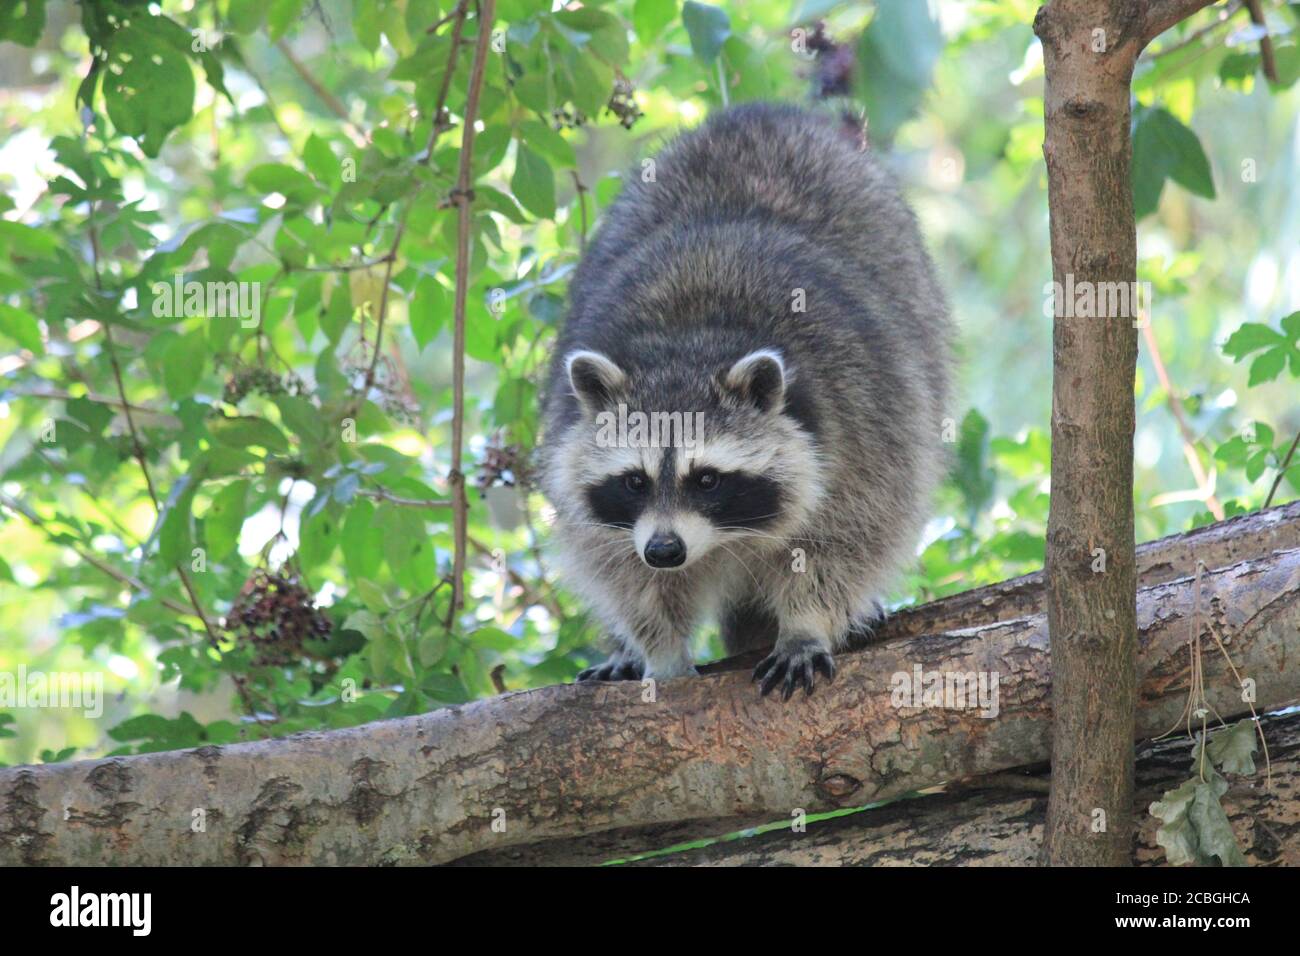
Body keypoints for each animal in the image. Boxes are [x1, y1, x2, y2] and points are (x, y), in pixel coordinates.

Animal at [538, 102, 952, 700]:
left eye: (708, 479)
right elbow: (621, 570)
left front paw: (806, 624)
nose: (664, 551)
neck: (691, 345)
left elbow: (848, 537)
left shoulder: (863, 419)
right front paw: (658, 648)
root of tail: (763, 114)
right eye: (634, 481)